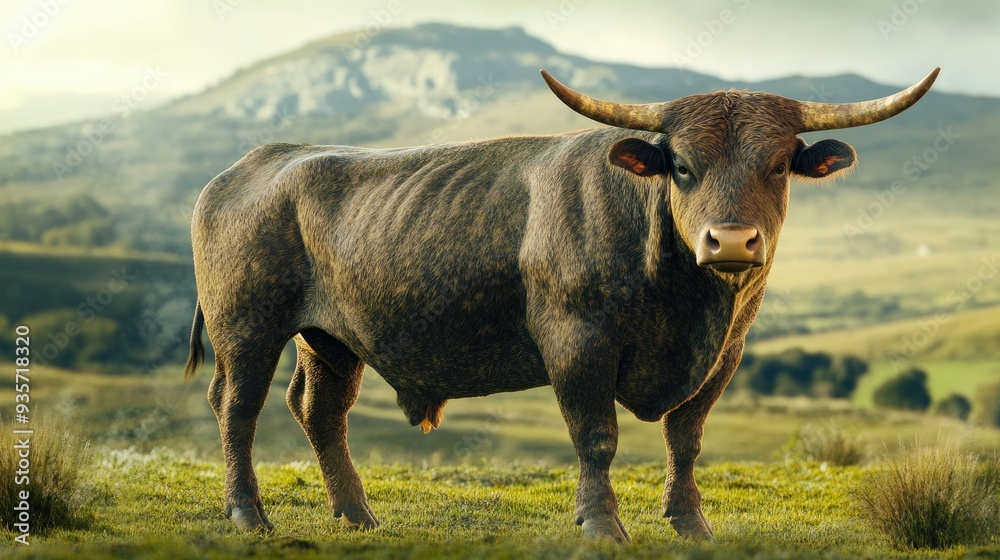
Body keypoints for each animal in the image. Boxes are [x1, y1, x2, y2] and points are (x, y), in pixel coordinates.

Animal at [185, 67, 939, 542]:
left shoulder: (725, 356)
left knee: (320, 412)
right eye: (682, 166)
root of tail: (253, 163)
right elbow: (596, 437)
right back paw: (248, 515)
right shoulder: (578, 344)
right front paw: (603, 524)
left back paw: (356, 516)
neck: (685, 304)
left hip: (331, 340)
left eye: (779, 164)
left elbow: (686, 438)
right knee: (238, 408)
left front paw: (691, 523)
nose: (730, 240)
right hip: (246, 329)